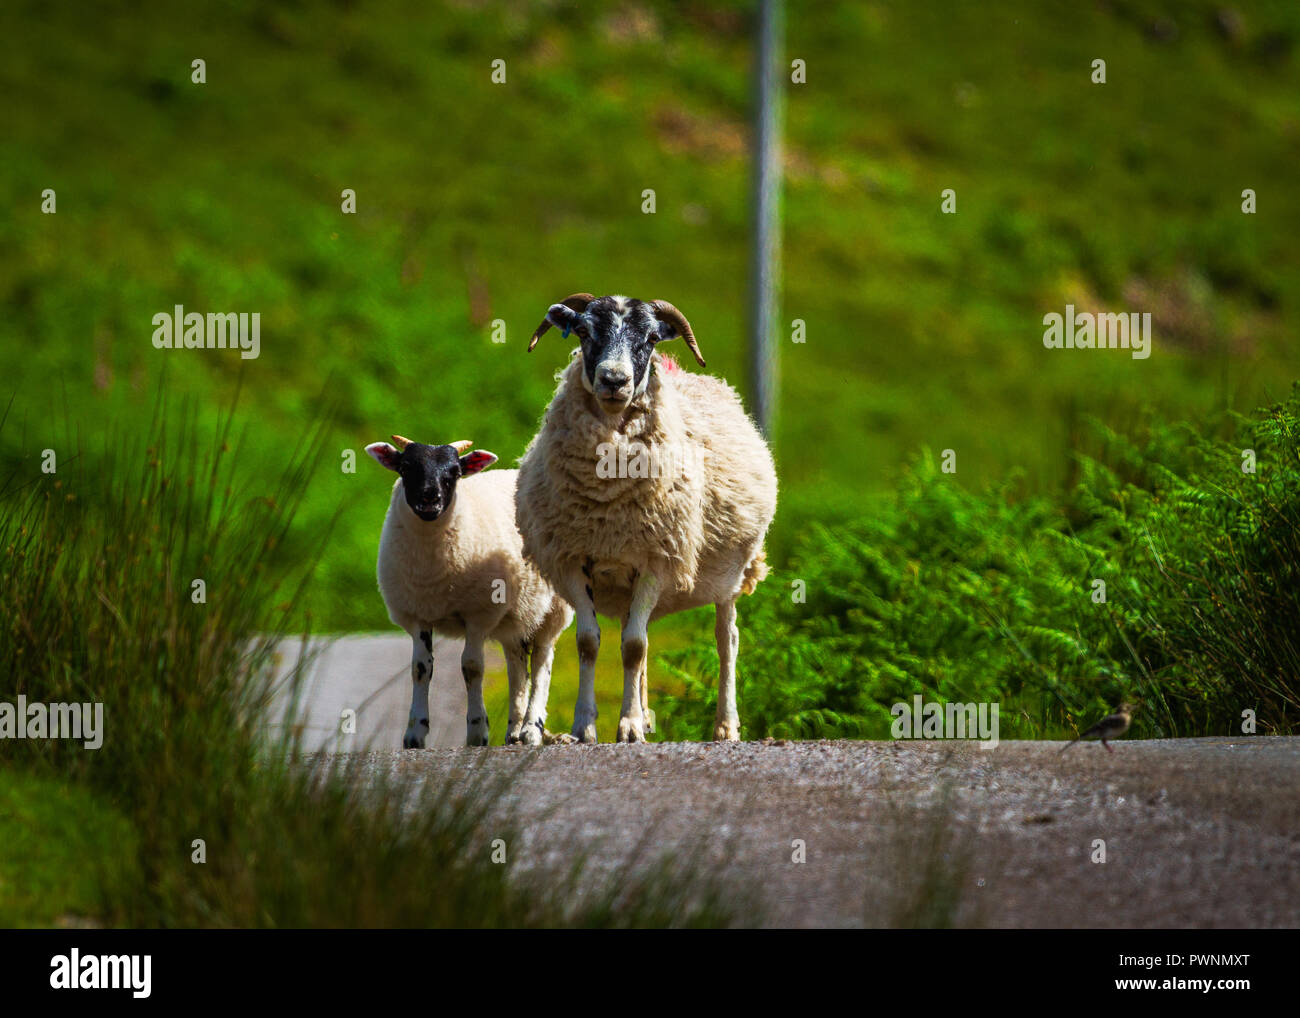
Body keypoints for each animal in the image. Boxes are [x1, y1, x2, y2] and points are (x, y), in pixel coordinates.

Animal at [366, 435, 574, 748]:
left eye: (454, 473)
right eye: (406, 468)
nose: (430, 498)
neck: (433, 572)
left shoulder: (479, 613)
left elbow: (472, 667)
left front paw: (477, 731)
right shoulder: (417, 615)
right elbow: (420, 668)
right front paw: (415, 733)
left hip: (554, 609)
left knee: (541, 663)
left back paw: (531, 729)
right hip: (515, 615)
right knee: (516, 666)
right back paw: (513, 731)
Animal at [515, 293, 777, 743]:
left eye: (651, 338)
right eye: (583, 330)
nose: (614, 380)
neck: (608, 498)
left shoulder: (657, 559)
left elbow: (634, 648)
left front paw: (630, 726)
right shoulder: (573, 559)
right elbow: (591, 643)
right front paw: (586, 726)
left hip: (730, 573)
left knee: (726, 639)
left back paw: (725, 726)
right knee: (636, 634)